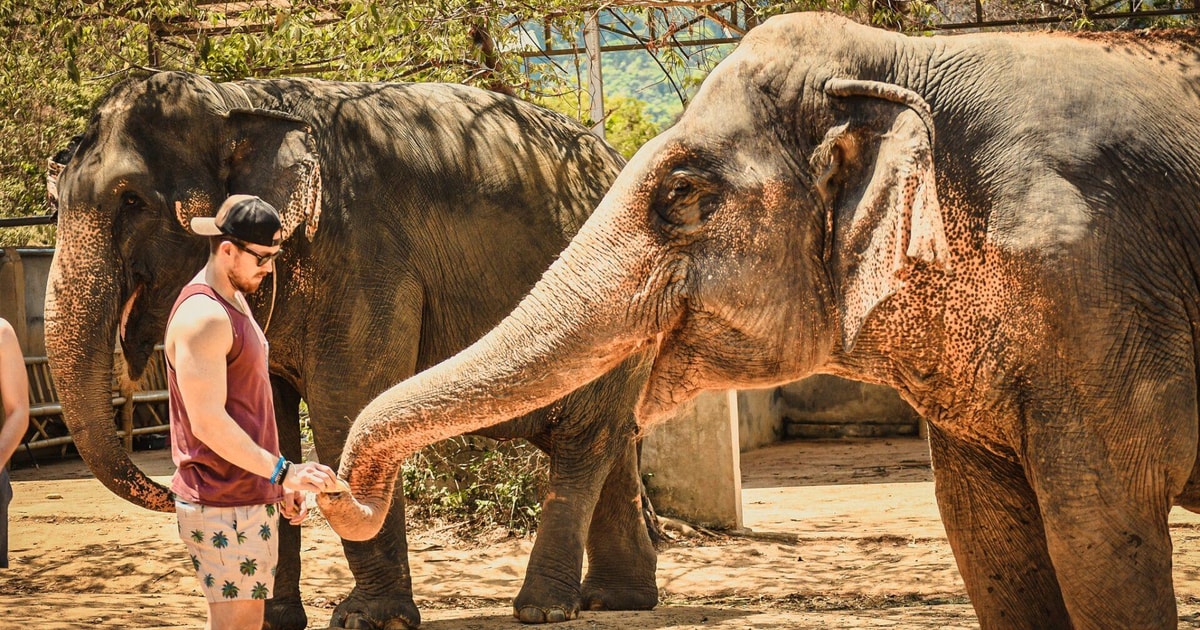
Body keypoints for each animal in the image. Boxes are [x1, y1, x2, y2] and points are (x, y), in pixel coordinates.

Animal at [45, 70, 659, 629]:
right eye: (55, 198)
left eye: (132, 200)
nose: (165, 491)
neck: (238, 98)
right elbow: (269, 418)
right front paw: (274, 621)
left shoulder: (364, 255)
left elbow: (347, 406)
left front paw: (370, 620)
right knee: (611, 444)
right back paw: (614, 600)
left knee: (584, 443)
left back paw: (543, 609)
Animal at [318, 12, 1200, 630]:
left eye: (682, 197)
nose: (326, 488)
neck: (903, 58)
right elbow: (989, 537)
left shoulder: (1094, 285)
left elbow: (1100, 537)